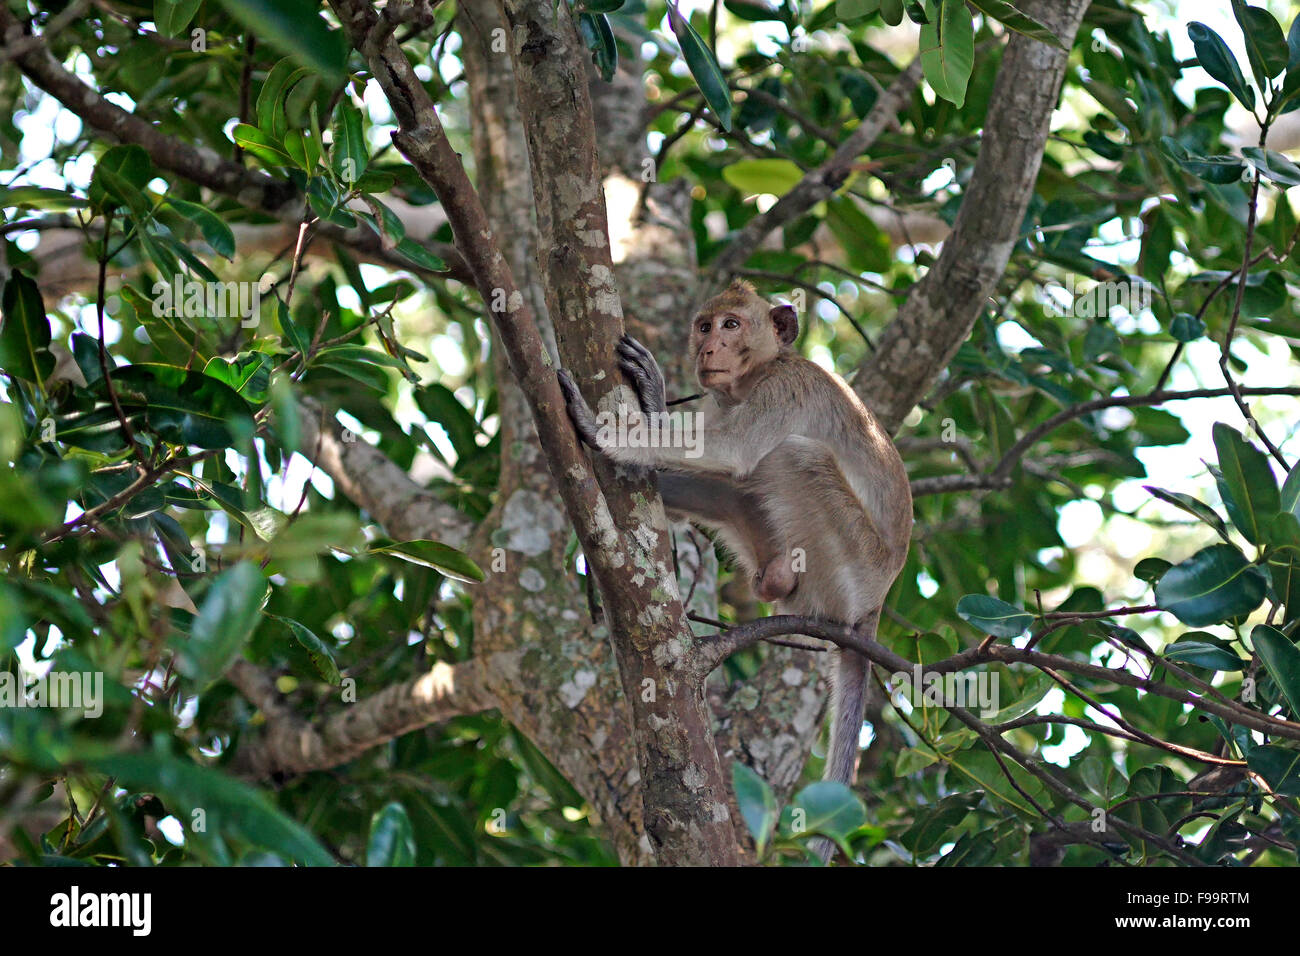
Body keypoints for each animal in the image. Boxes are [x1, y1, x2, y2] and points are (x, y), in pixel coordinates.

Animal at [557, 279, 912, 862]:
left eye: (731, 325)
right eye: (705, 325)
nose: (709, 348)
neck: (761, 372)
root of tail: (875, 606)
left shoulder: (783, 390)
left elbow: (730, 450)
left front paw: (601, 423)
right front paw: (648, 402)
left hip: (849, 567)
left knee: (791, 457)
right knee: (742, 486)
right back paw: (770, 574)